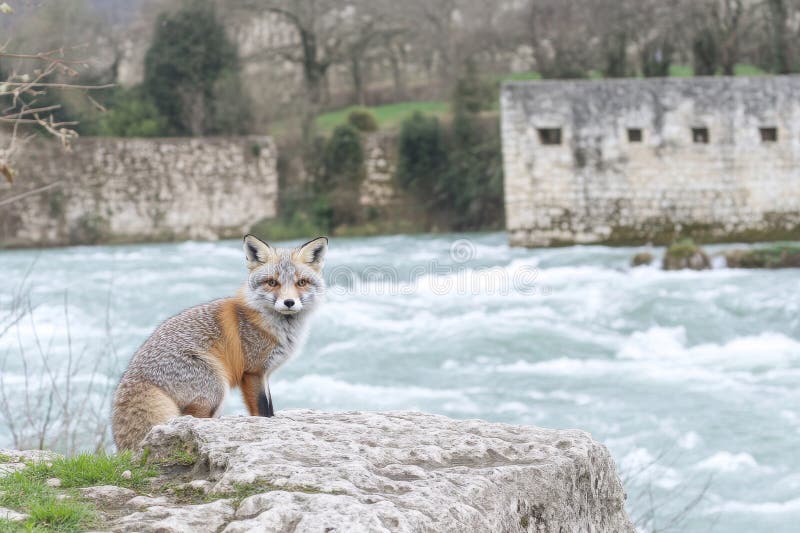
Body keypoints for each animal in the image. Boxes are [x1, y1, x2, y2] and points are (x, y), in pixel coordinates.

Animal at [111, 234, 328, 450]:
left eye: (301, 282)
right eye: (272, 282)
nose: (289, 302)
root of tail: (133, 377)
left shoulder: (265, 373)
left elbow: (270, 408)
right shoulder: (253, 371)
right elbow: (262, 411)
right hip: (216, 389)